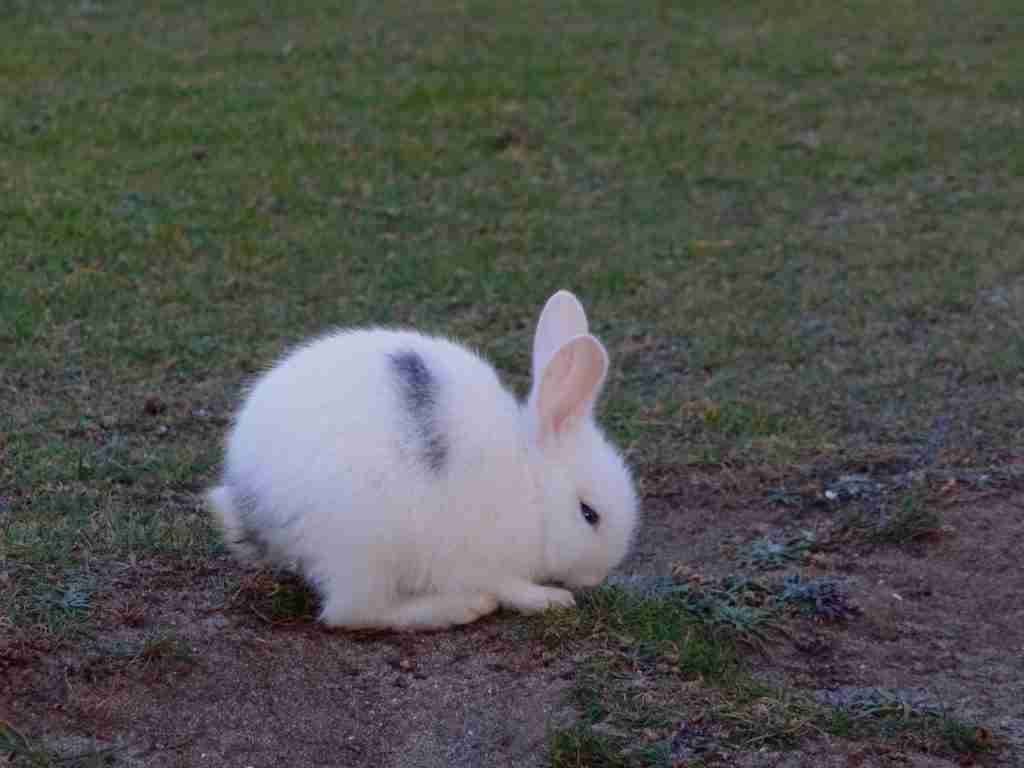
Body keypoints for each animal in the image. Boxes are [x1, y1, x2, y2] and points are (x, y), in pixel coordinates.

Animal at [206, 289, 639, 630]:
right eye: (588, 513)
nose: (597, 576)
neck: (532, 485)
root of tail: (248, 501)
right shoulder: (483, 557)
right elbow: (511, 587)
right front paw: (550, 599)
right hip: (362, 549)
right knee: (354, 613)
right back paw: (459, 608)